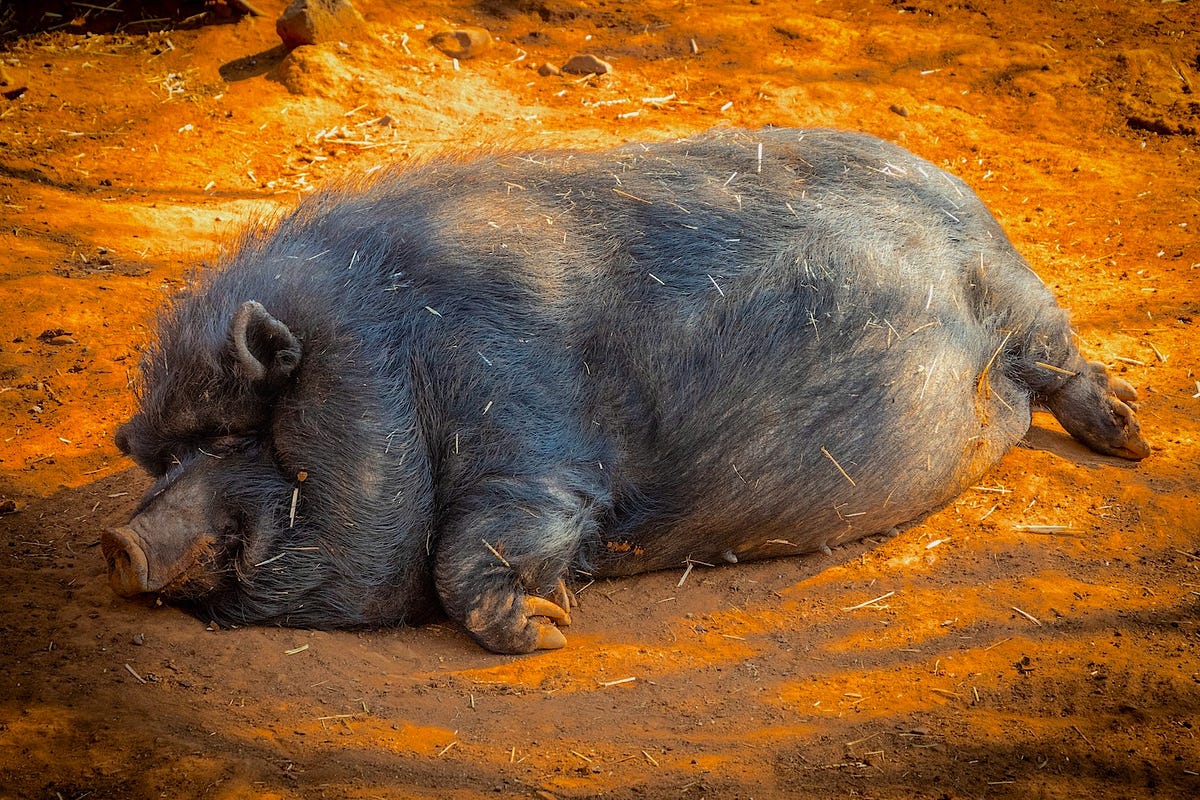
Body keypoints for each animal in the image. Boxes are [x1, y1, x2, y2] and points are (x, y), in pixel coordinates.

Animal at [103, 127, 1149, 654]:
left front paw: (551, 630)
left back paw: (1135, 441)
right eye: (161, 455)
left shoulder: (533, 440)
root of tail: (968, 193)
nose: (117, 541)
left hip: (1017, 292)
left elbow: (473, 549)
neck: (398, 366)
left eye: (232, 435)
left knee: (1064, 360)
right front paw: (554, 619)